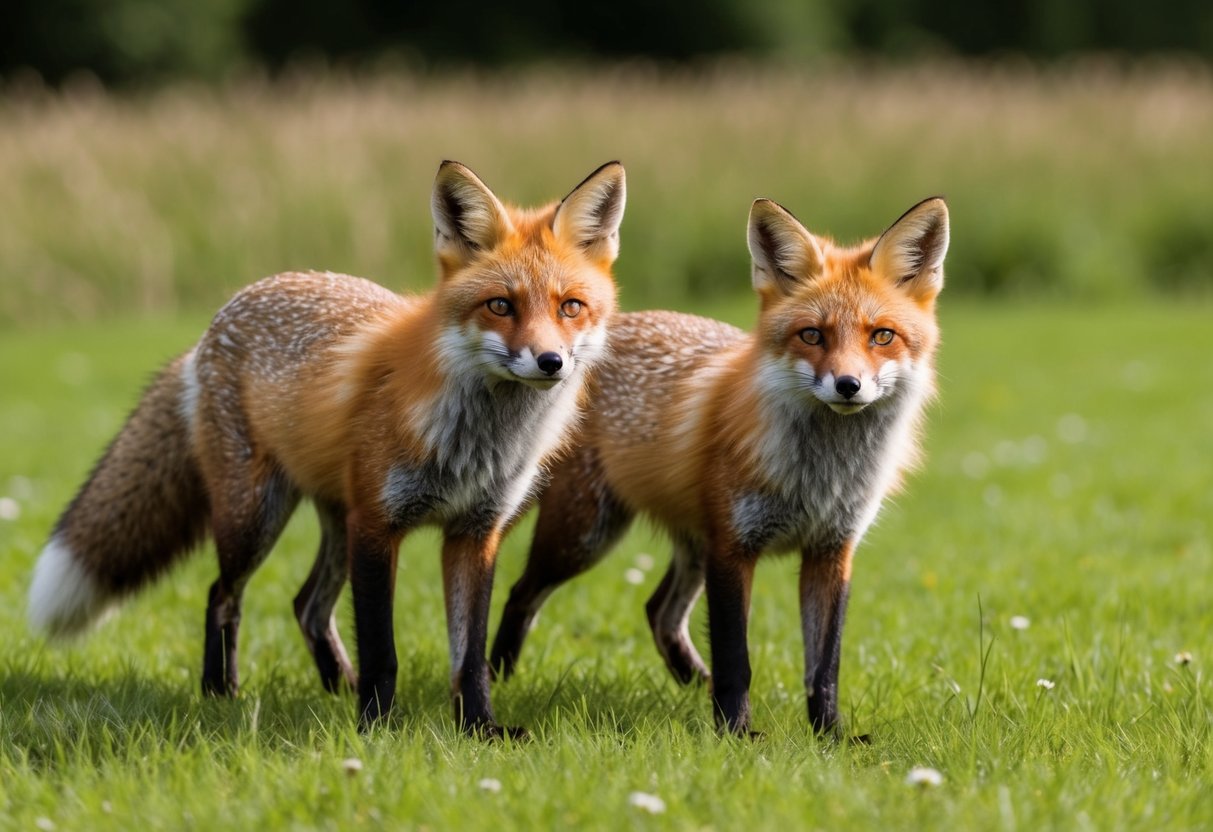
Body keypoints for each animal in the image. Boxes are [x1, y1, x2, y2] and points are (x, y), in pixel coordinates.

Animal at [28, 160, 625, 736]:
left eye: (571, 307)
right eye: (500, 305)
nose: (550, 362)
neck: (475, 442)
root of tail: (213, 326)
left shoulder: (475, 533)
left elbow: (469, 657)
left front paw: (480, 730)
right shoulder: (378, 526)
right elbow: (383, 651)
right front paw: (377, 730)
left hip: (335, 521)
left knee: (306, 606)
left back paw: (337, 686)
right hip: (255, 517)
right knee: (222, 595)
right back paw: (223, 693)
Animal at [489, 196, 948, 736]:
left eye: (882, 336)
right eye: (812, 335)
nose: (848, 385)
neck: (819, 478)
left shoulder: (832, 551)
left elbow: (825, 665)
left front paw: (829, 735)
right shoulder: (733, 547)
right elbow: (736, 657)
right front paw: (737, 732)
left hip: (689, 545)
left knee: (658, 611)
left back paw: (692, 684)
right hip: (584, 535)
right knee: (521, 592)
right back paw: (497, 677)